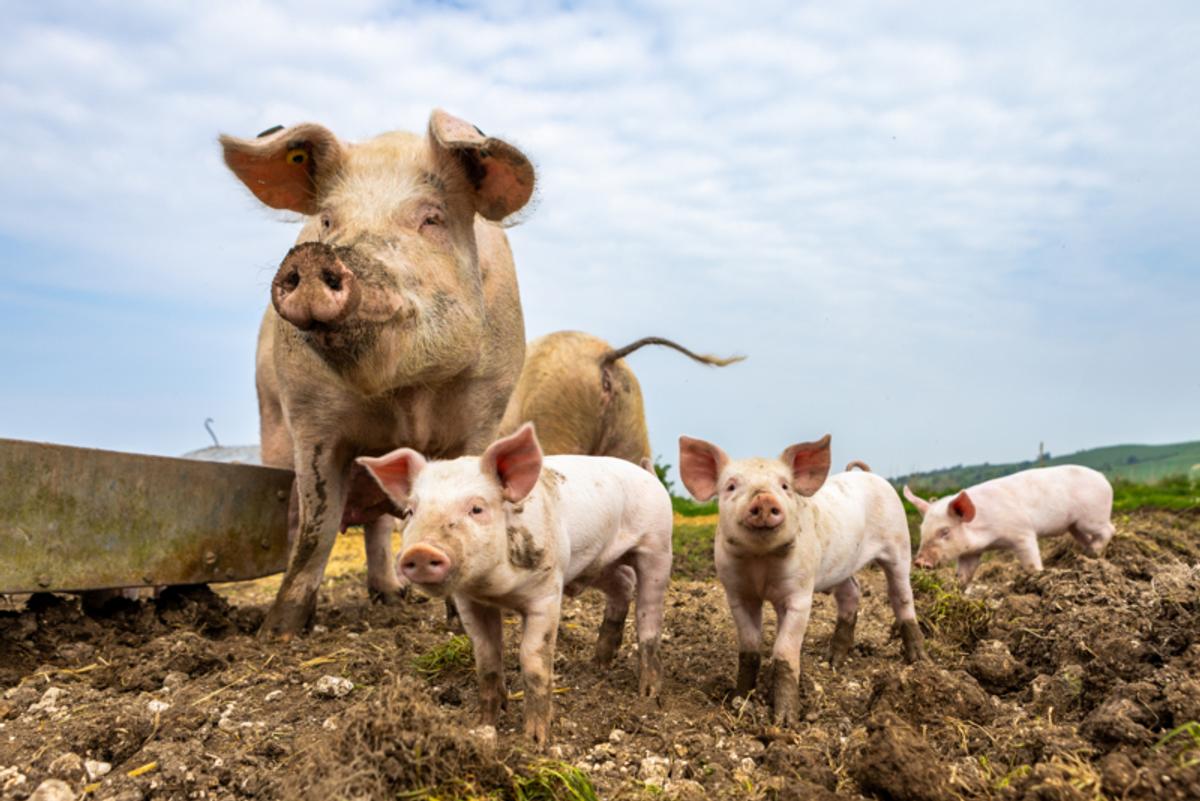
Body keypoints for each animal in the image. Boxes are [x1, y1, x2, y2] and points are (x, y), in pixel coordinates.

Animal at [220, 110, 535, 638]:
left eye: (431, 217)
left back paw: (390, 597)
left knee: (379, 526)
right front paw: (278, 633)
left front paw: (461, 623)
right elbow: (317, 527)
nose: (315, 256)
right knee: (303, 520)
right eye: (328, 219)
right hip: (273, 424)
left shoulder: (486, 406)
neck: (405, 393)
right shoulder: (310, 416)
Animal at [357, 423, 673, 746]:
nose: (421, 551)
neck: (495, 589)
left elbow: (533, 660)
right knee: (623, 583)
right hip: (597, 564)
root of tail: (648, 475)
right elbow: (486, 661)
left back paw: (648, 693)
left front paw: (536, 740)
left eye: (477, 509)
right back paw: (598, 664)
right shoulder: (470, 602)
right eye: (410, 512)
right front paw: (484, 726)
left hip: (658, 546)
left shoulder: (547, 592)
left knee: (648, 612)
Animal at [679, 434, 924, 725]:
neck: (760, 561)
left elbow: (785, 652)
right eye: (730, 486)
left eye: (785, 486)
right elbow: (750, 649)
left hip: (899, 546)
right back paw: (833, 661)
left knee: (902, 596)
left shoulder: (800, 594)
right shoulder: (737, 594)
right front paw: (739, 701)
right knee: (852, 592)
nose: (763, 499)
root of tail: (869, 474)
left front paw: (785, 722)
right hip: (842, 565)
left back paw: (918, 660)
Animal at [903, 465, 1115, 585]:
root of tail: (1103, 478)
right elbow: (964, 575)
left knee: (1109, 529)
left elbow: (1031, 562)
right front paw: (956, 590)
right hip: (1075, 525)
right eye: (922, 530)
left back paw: (1093, 553)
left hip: (1091, 517)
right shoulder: (971, 552)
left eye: (945, 531)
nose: (920, 562)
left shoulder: (1023, 532)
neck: (991, 538)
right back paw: (1087, 555)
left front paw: (1038, 576)